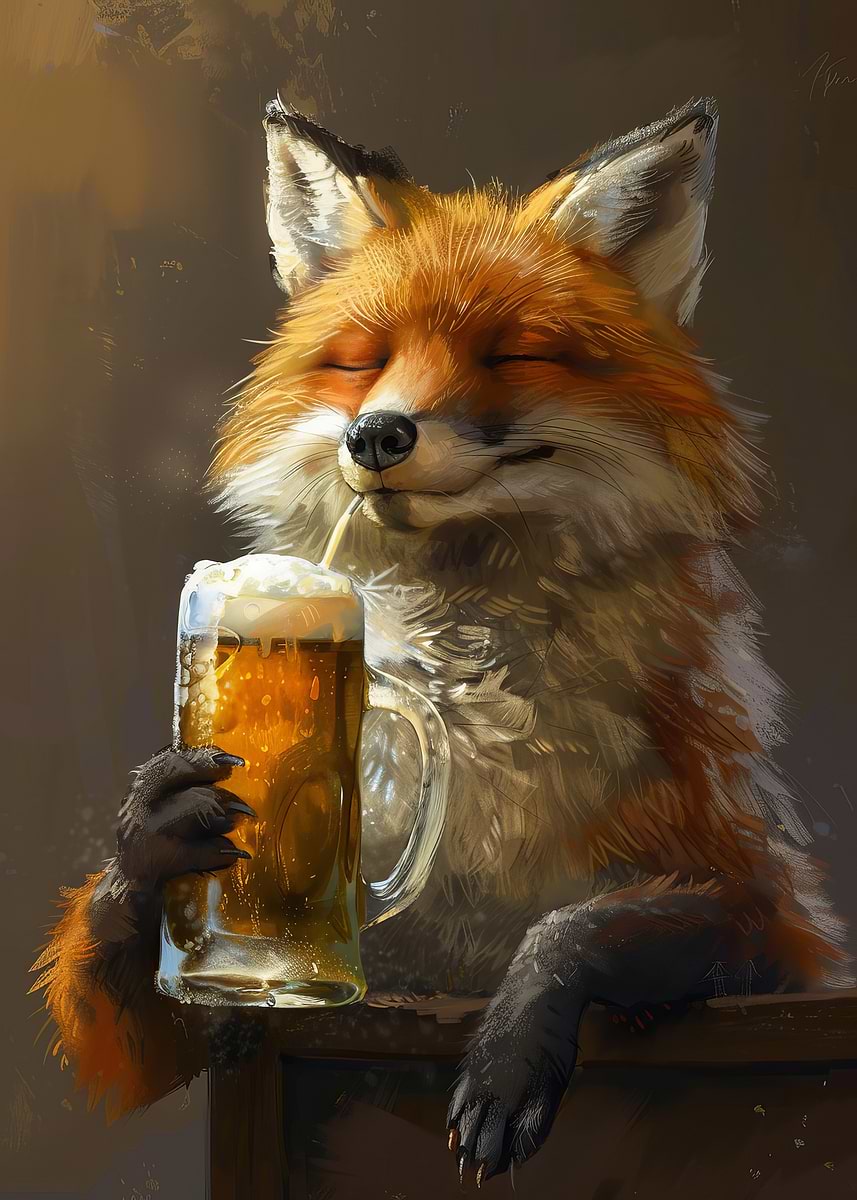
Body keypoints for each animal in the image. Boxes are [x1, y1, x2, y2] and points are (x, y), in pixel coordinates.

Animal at [33, 96, 849, 1183]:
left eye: (510, 354)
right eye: (362, 359)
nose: (375, 434)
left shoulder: (773, 918)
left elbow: (577, 925)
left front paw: (509, 1058)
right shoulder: (236, 1021)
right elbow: (132, 982)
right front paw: (158, 839)